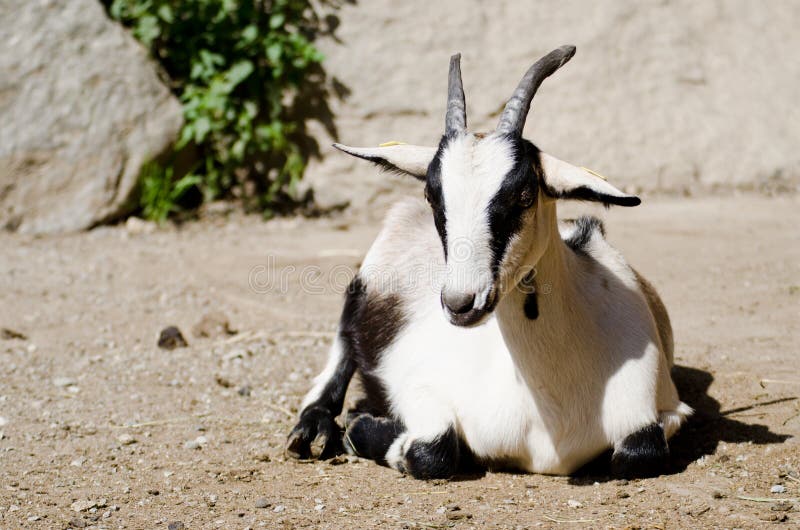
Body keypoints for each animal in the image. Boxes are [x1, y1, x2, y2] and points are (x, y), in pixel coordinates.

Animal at [287, 45, 691, 479]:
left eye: (525, 195)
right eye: (432, 195)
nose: (461, 302)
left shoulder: (665, 407)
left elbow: (640, 451)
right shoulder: (417, 383)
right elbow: (434, 449)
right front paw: (359, 425)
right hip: (359, 298)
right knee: (341, 354)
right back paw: (312, 431)